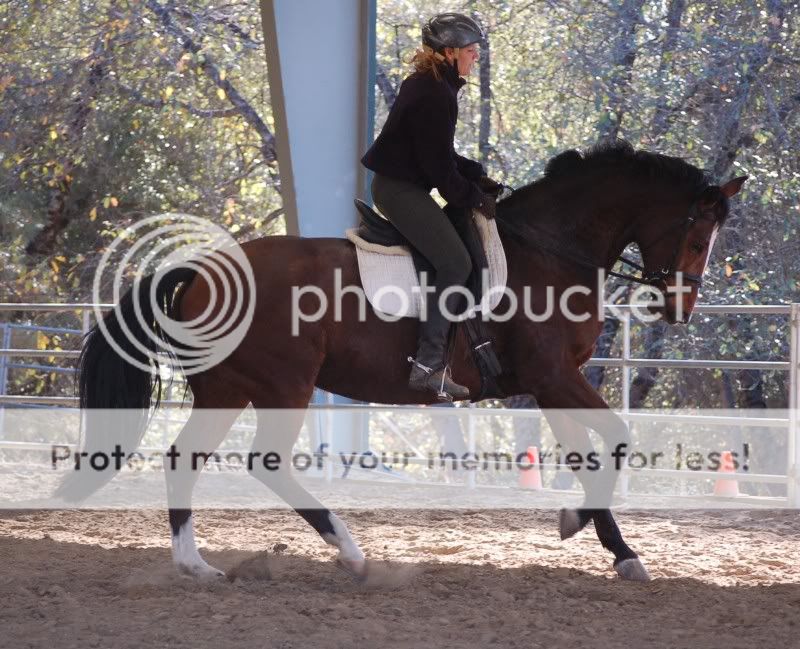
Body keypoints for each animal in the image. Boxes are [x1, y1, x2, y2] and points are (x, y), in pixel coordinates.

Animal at [61, 139, 746, 582]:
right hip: (284, 383)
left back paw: (194, 564)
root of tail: (203, 268)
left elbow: (589, 454)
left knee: (185, 459)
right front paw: (607, 540)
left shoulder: (550, 382)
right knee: (266, 462)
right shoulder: (555, 376)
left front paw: (594, 532)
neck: (552, 249)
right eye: (696, 237)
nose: (681, 307)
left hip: (227, 389)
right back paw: (351, 553)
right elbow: (618, 438)